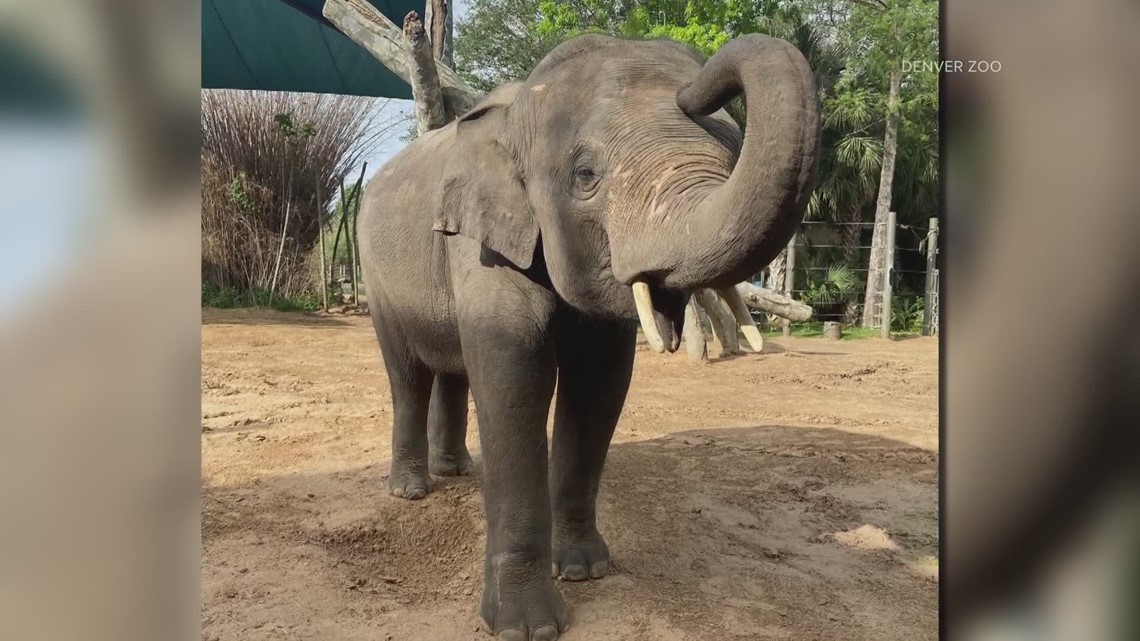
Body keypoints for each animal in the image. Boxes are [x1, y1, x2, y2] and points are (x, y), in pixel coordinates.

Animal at [357, 32, 820, 640]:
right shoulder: (480, 244)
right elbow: (514, 384)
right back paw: (411, 490)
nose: (696, 82)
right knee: (407, 375)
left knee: (452, 371)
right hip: (377, 279)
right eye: (585, 176)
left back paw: (457, 472)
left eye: (732, 151)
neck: (522, 106)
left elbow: (599, 388)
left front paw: (586, 570)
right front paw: (526, 627)